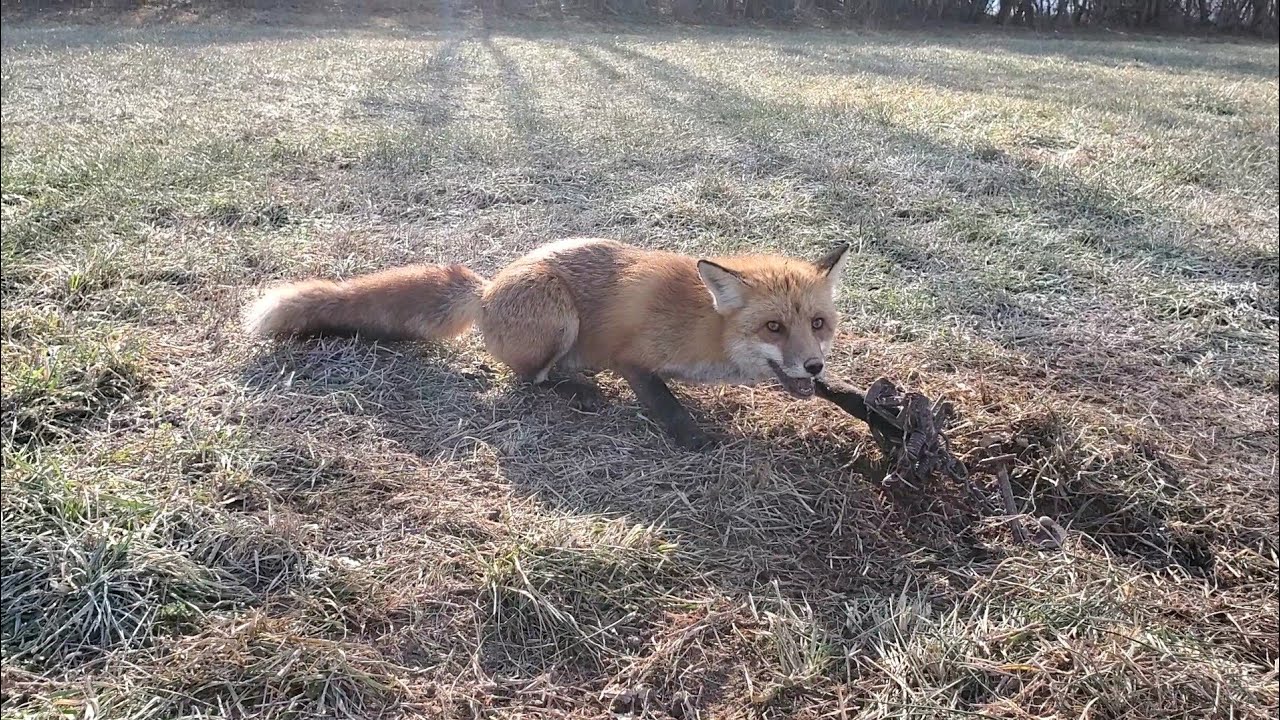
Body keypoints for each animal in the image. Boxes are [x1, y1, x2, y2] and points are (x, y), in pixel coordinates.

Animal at [243, 238, 849, 449]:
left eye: (818, 324)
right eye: (774, 328)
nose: (813, 368)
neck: (707, 325)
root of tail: (487, 288)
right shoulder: (633, 356)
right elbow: (663, 400)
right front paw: (692, 436)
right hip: (559, 318)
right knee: (529, 379)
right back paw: (577, 390)